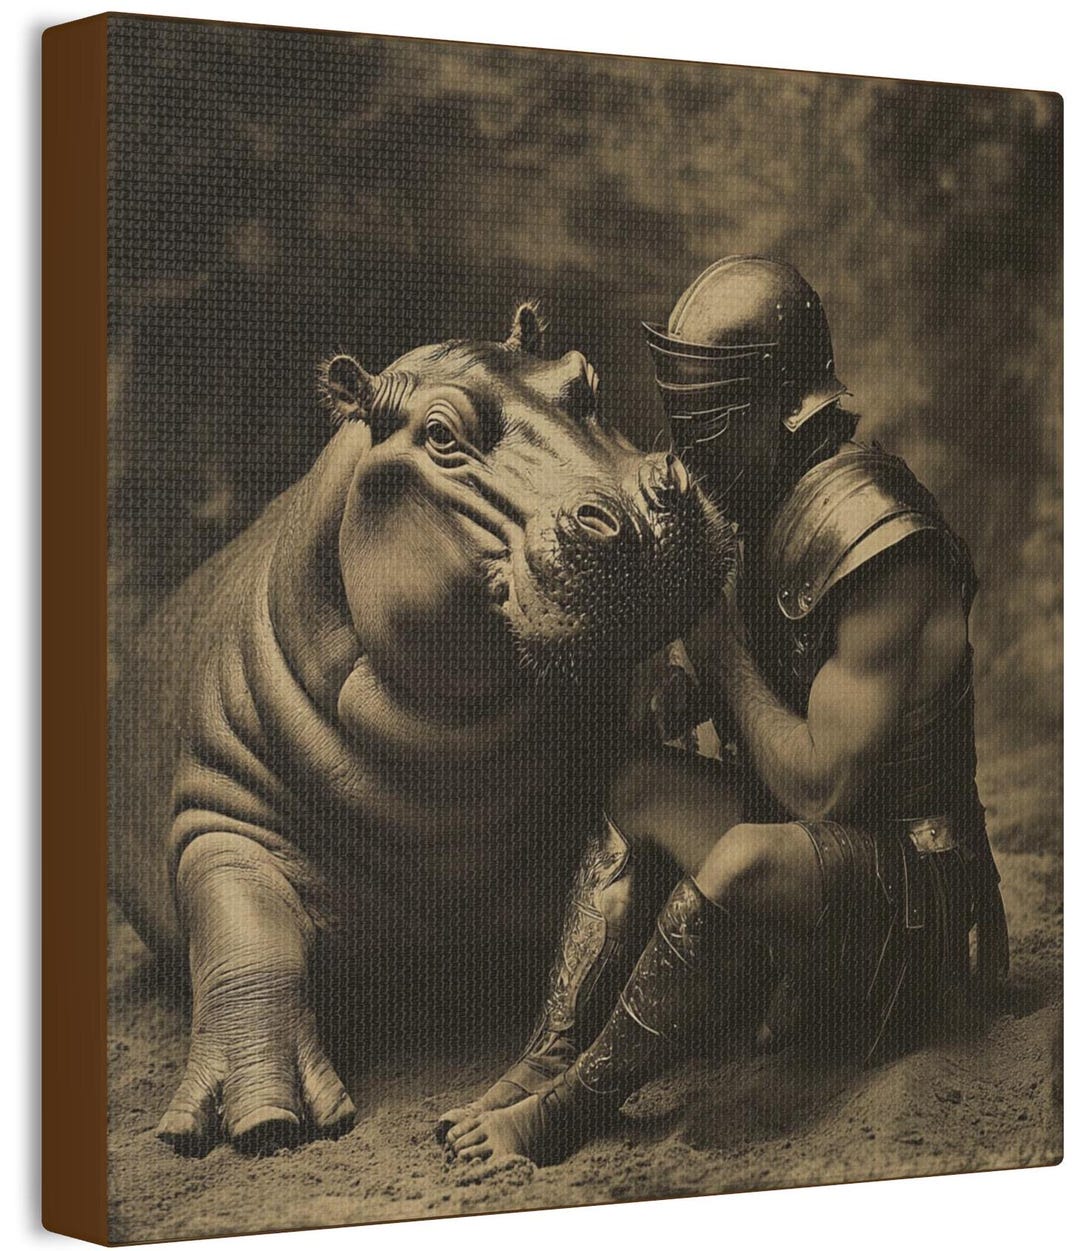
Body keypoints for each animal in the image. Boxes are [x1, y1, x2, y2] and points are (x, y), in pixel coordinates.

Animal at [109, 304, 734, 1156]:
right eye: (440, 435)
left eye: (586, 379)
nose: (639, 510)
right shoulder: (218, 804)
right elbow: (246, 938)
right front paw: (264, 1122)